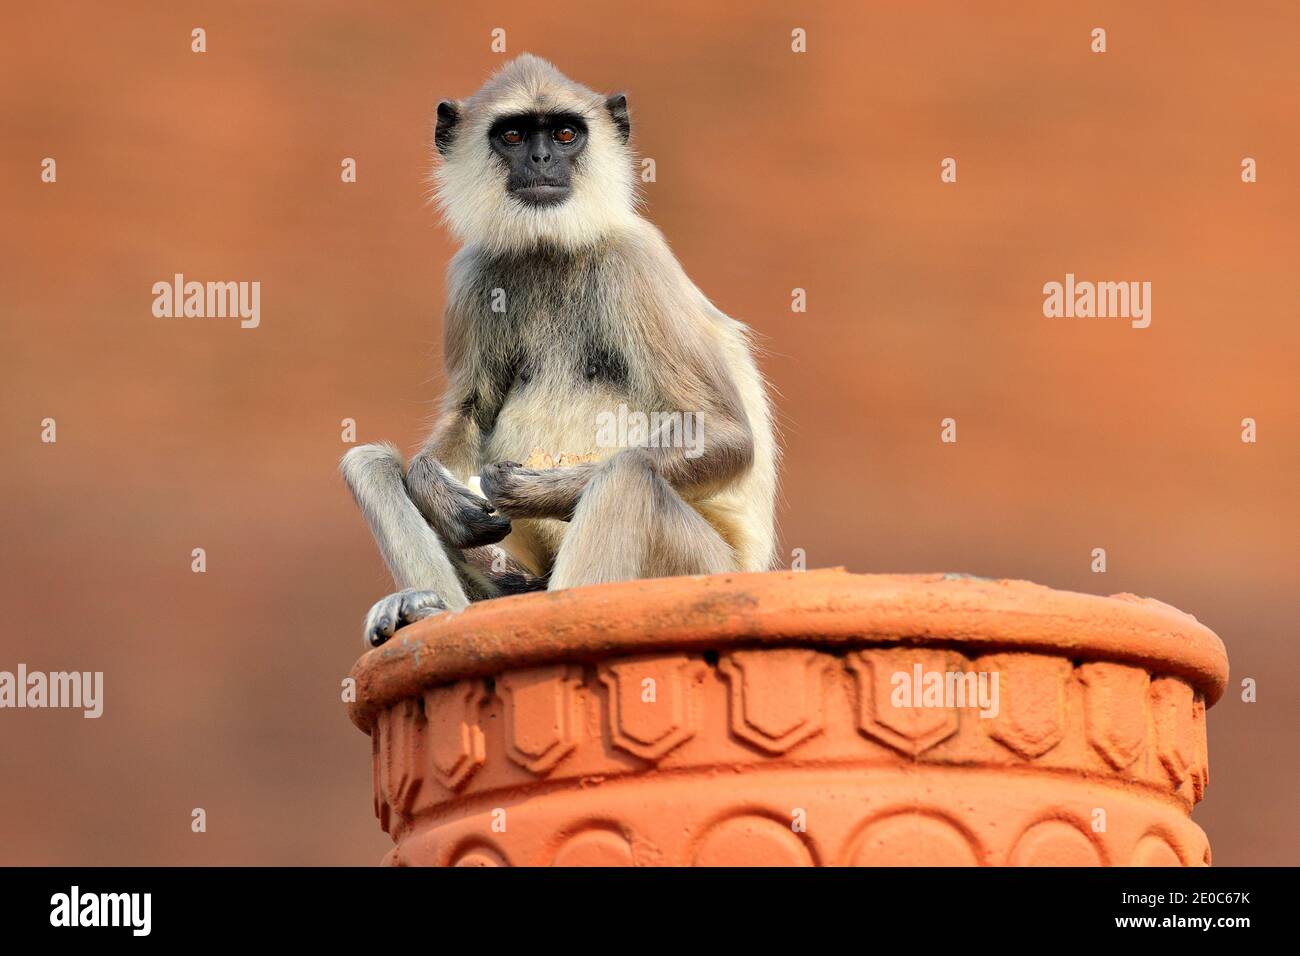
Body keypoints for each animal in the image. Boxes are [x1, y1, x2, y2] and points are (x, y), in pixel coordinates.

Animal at [341, 54, 778, 647]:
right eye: (514, 135)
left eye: (565, 134)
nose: (543, 158)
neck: (549, 247)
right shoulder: (473, 273)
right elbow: (468, 413)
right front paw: (436, 491)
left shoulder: (636, 261)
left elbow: (725, 433)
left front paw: (536, 490)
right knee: (368, 462)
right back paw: (429, 611)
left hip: (704, 572)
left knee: (627, 476)